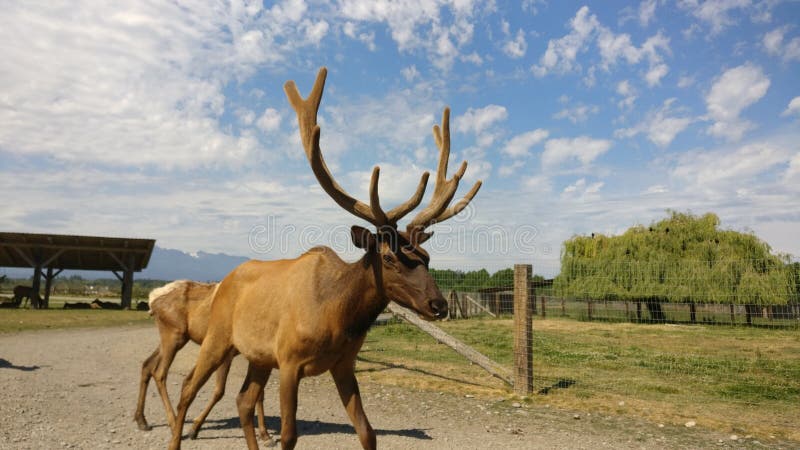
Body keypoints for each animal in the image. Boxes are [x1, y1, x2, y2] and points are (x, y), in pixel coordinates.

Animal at [134, 280, 270, 441]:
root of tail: (152, 300)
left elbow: (260, 394)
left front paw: (265, 434)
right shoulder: (227, 353)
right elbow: (219, 390)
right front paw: (194, 428)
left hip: (175, 339)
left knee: (147, 365)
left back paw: (142, 420)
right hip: (174, 336)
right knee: (159, 372)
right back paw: (173, 424)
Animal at [167, 67, 481, 450]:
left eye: (427, 256)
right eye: (389, 258)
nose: (439, 304)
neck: (336, 317)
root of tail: (221, 282)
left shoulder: (343, 364)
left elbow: (367, 432)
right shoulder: (289, 360)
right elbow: (289, 435)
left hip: (258, 355)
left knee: (243, 400)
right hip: (218, 337)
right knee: (188, 386)